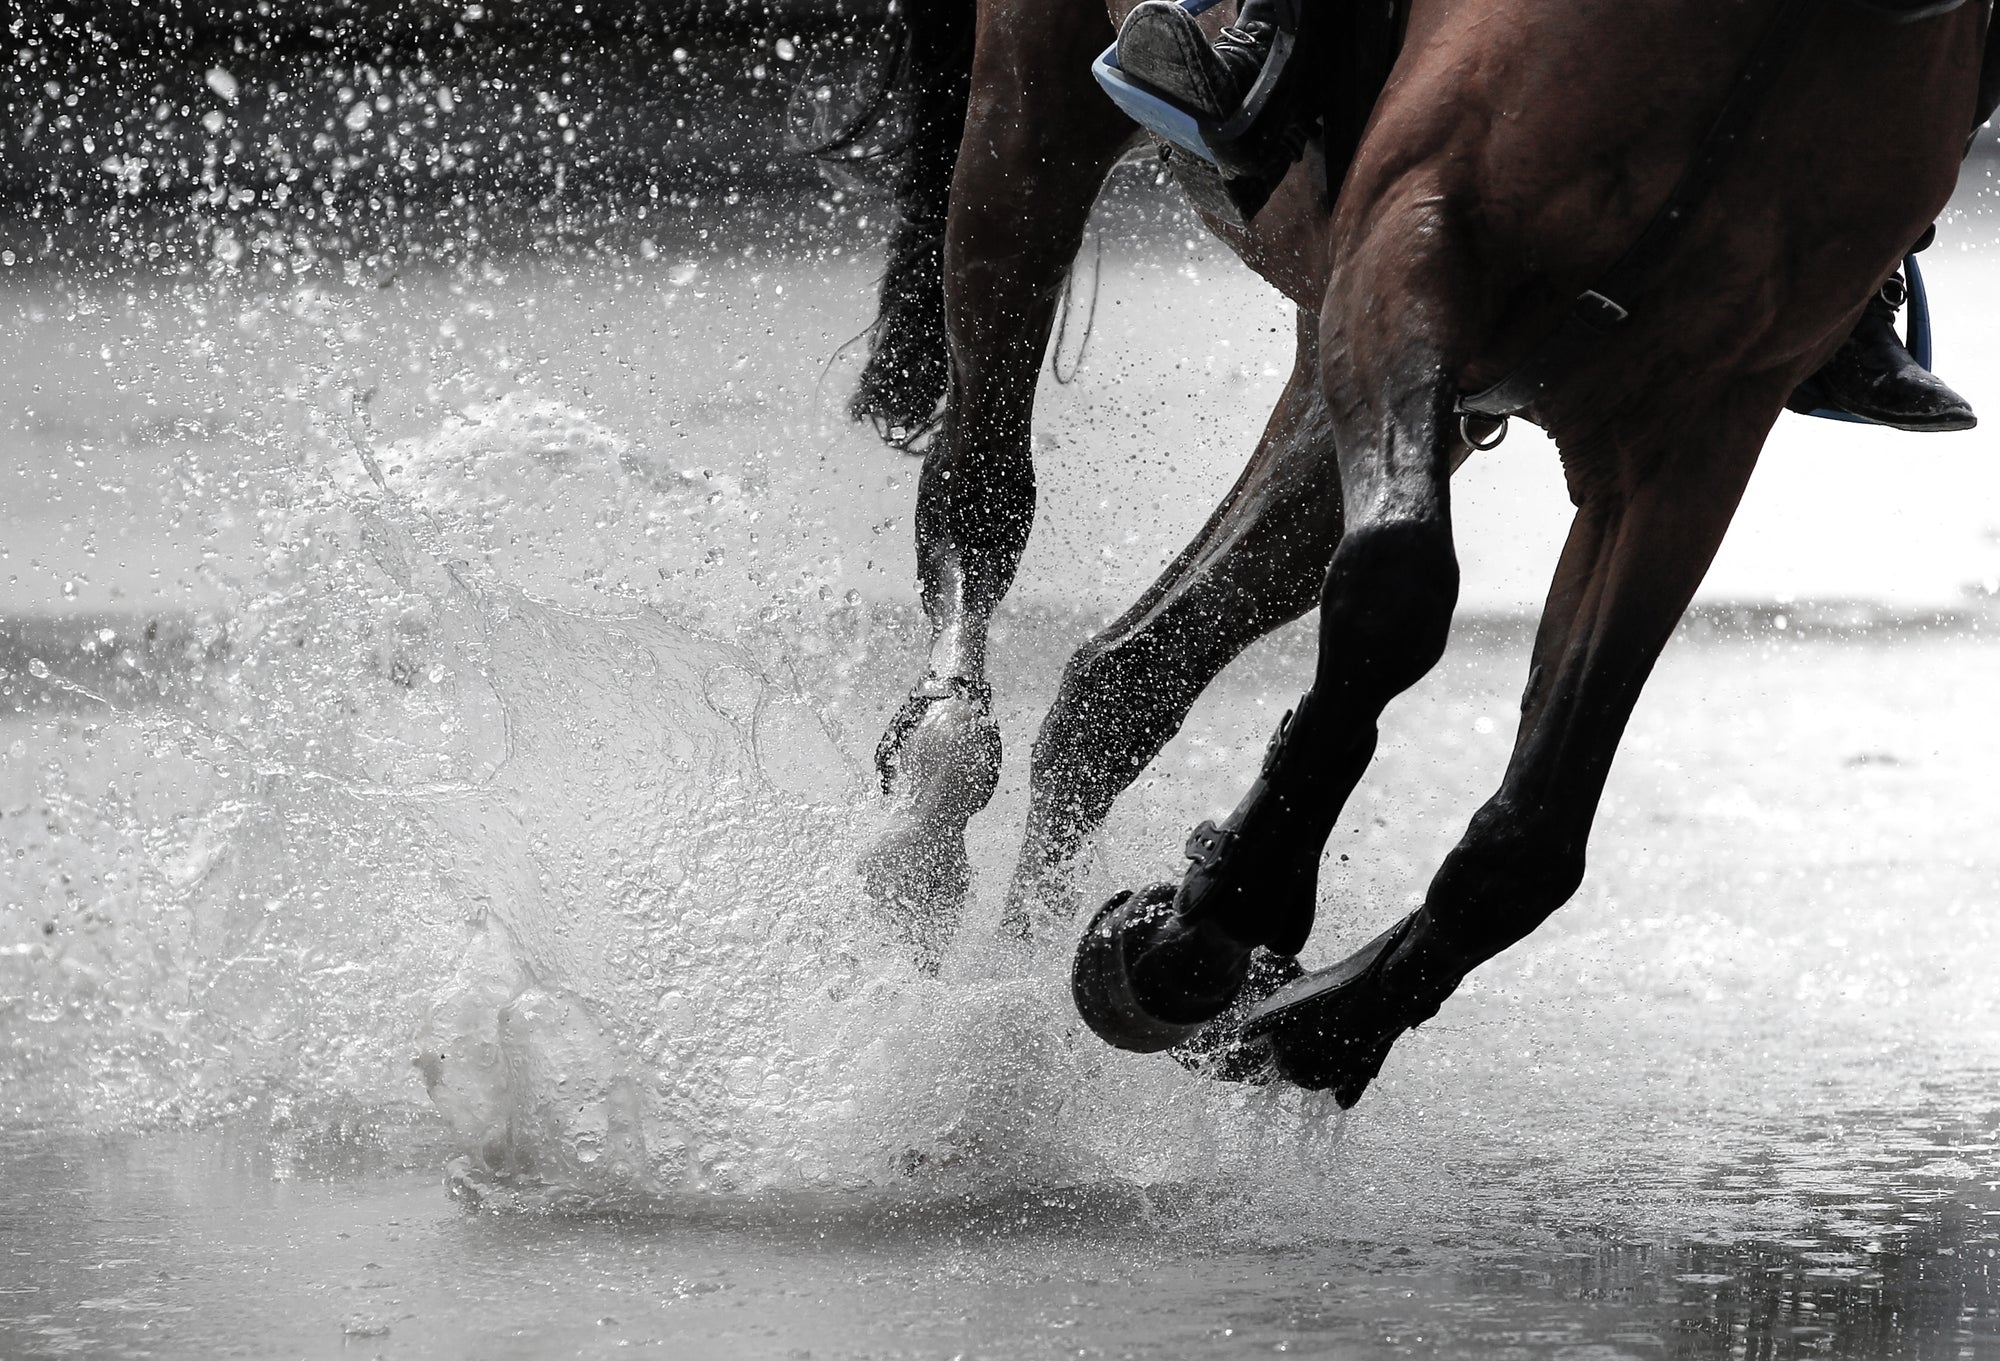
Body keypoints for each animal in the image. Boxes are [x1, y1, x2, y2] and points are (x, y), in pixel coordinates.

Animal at [840, 0, 1993, 1098]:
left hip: (1343, 354)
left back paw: (1010, 1007)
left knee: (1123, 677)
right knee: (980, 486)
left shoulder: (1696, 431)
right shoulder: (1415, 239)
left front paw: (1315, 1018)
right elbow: (1397, 590)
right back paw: (931, 803)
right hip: (1033, 114)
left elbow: (1540, 820)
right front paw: (1209, 927)